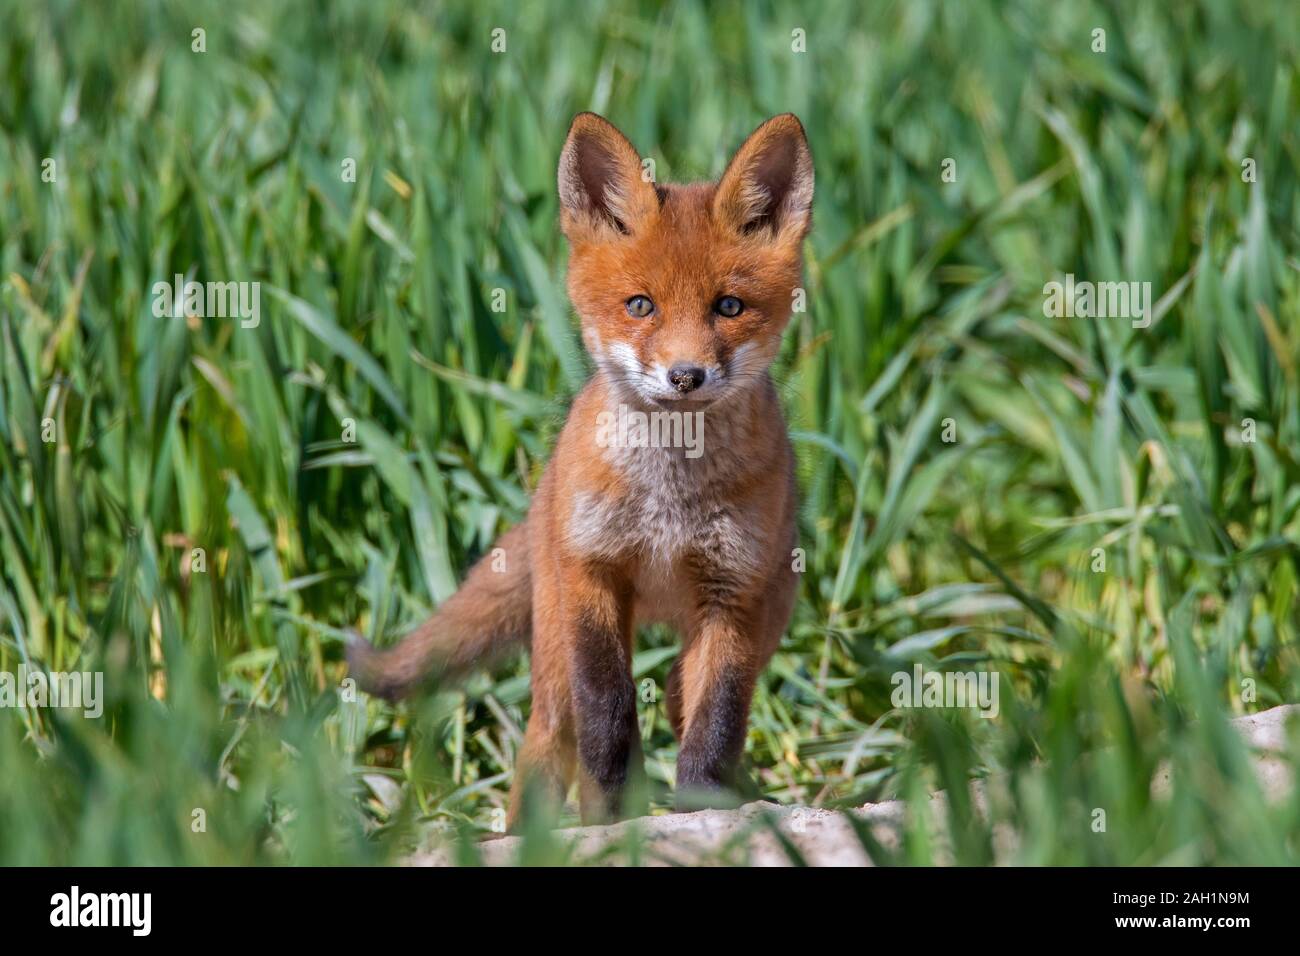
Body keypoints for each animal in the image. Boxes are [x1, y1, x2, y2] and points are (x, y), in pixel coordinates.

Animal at [348, 112, 813, 829]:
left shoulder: (732, 593)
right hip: (553, 647)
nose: (685, 376)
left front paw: (703, 809)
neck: (669, 500)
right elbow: (608, 711)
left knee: (680, 693)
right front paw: (617, 801)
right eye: (641, 305)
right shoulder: (592, 573)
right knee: (551, 737)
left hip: (763, 614)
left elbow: (716, 721)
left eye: (729, 307)